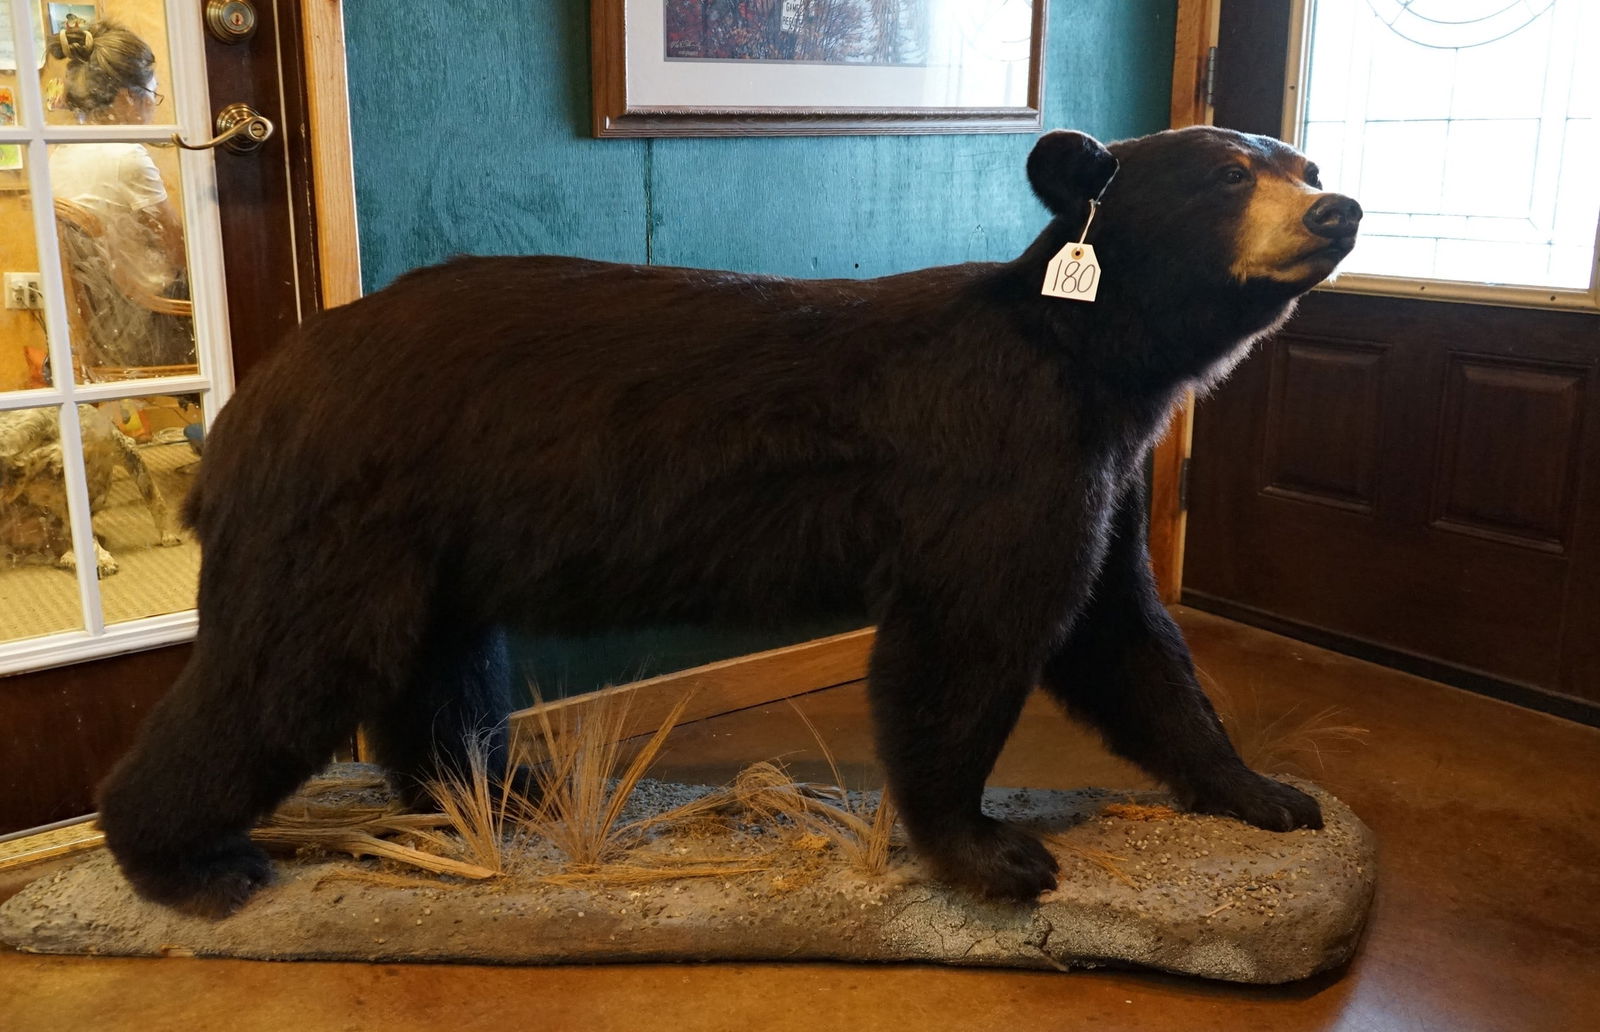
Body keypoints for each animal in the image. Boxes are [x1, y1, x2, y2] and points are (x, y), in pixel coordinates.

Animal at [95, 125, 1361, 917]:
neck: (1089, 358)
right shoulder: (998, 462)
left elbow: (1129, 638)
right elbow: (966, 643)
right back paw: (183, 860)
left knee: (435, 670)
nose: (1338, 205)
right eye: (1227, 174)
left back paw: (495, 796)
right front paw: (991, 850)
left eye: (1301, 158)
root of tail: (251, 398)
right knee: (286, 666)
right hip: (347, 509)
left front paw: (1266, 794)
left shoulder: (1102, 474)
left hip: (429, 533)